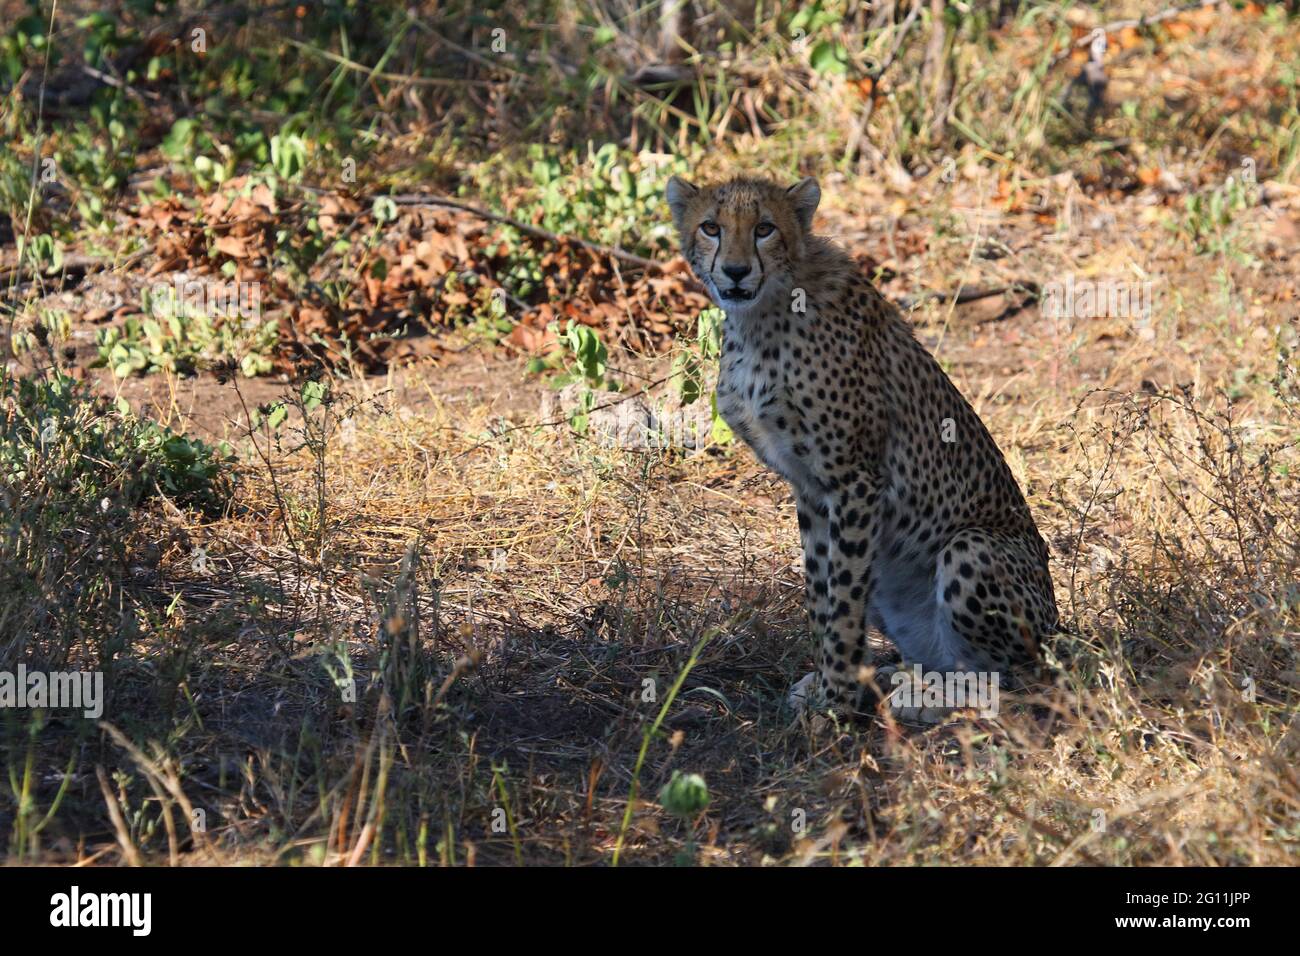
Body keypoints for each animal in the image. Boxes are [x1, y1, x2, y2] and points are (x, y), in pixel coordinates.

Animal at [666, 173, 1059, 718]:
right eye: (711, 227)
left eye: (765, 228)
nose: (737, 271)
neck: (763, 315)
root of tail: (1060, 632)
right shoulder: (810, 488)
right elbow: (820, 591)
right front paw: (829, 683)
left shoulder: (856, 479)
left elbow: (844, 597)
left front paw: (836, 699)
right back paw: (901, 678)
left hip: (972, 548)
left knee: (1012, 678)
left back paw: (926, 698)